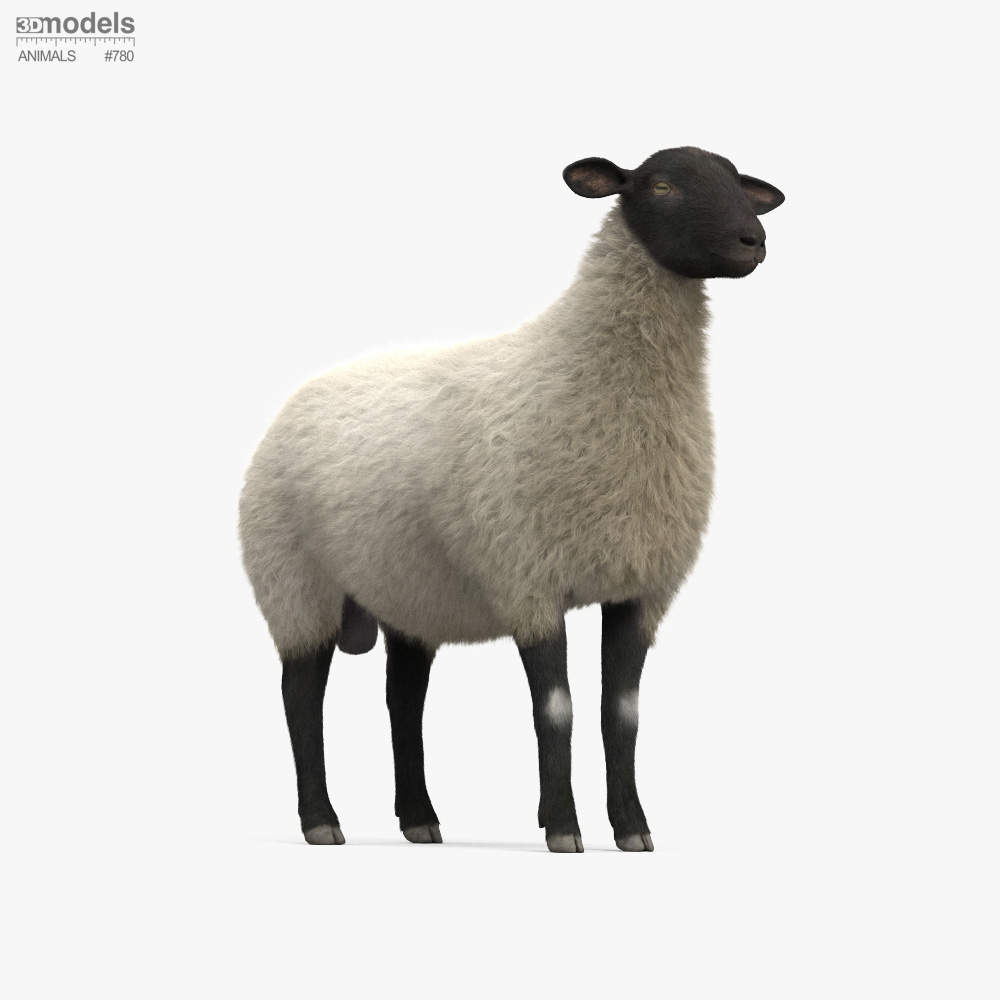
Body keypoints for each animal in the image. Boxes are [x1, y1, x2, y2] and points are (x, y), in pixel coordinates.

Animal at [239, 146, 784, 852]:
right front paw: (564, 828)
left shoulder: (640, 586)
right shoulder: (529, 577)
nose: (754, 239)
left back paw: (419, 819)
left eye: (738, 182)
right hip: (295, 584)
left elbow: (622, 714)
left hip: (407, 586)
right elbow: (556, 711)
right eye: (660, 185)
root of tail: (301, 396)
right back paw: (320, 821)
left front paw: (633, 828)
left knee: (403, 699)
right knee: (300, 694)